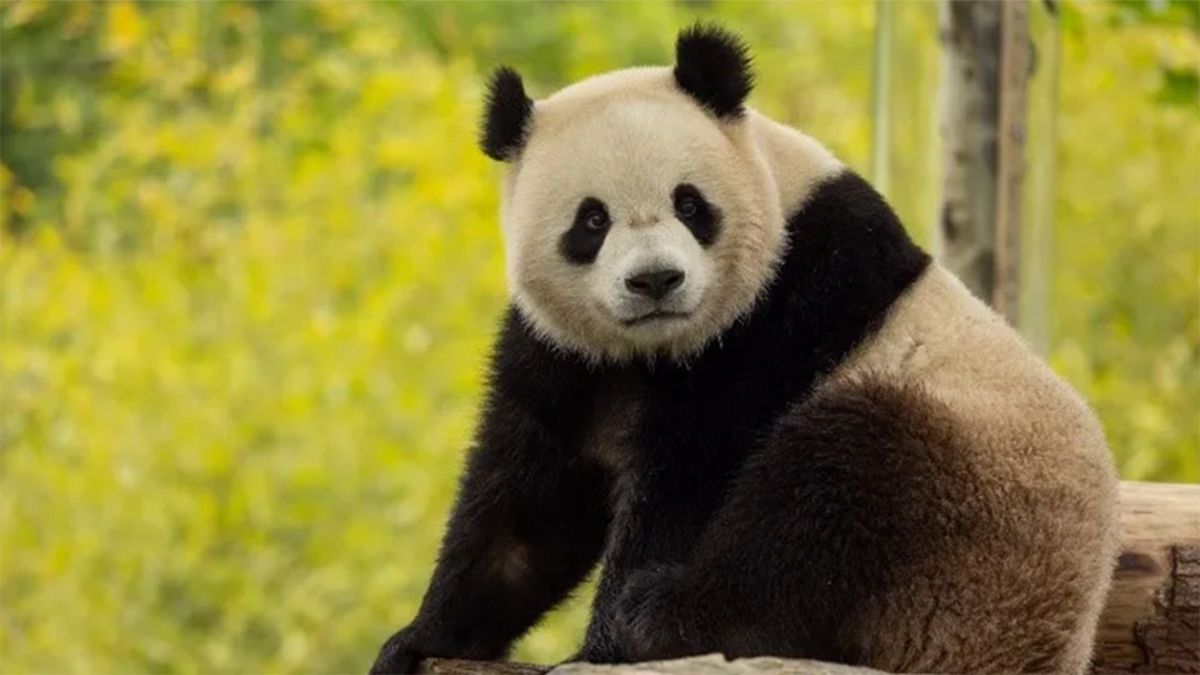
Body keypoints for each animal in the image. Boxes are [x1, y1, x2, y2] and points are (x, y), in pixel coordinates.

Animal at [368, 24, 1121, 675]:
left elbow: (691, 476)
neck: (656, 349)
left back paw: (661, 616)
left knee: (829, 492)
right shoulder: (566, 354)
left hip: (967, 513)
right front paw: (420, 639)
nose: (655, 280)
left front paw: (603, 646)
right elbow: (527, 504)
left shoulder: (784, 309)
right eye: (591, 221)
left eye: (690, 204)